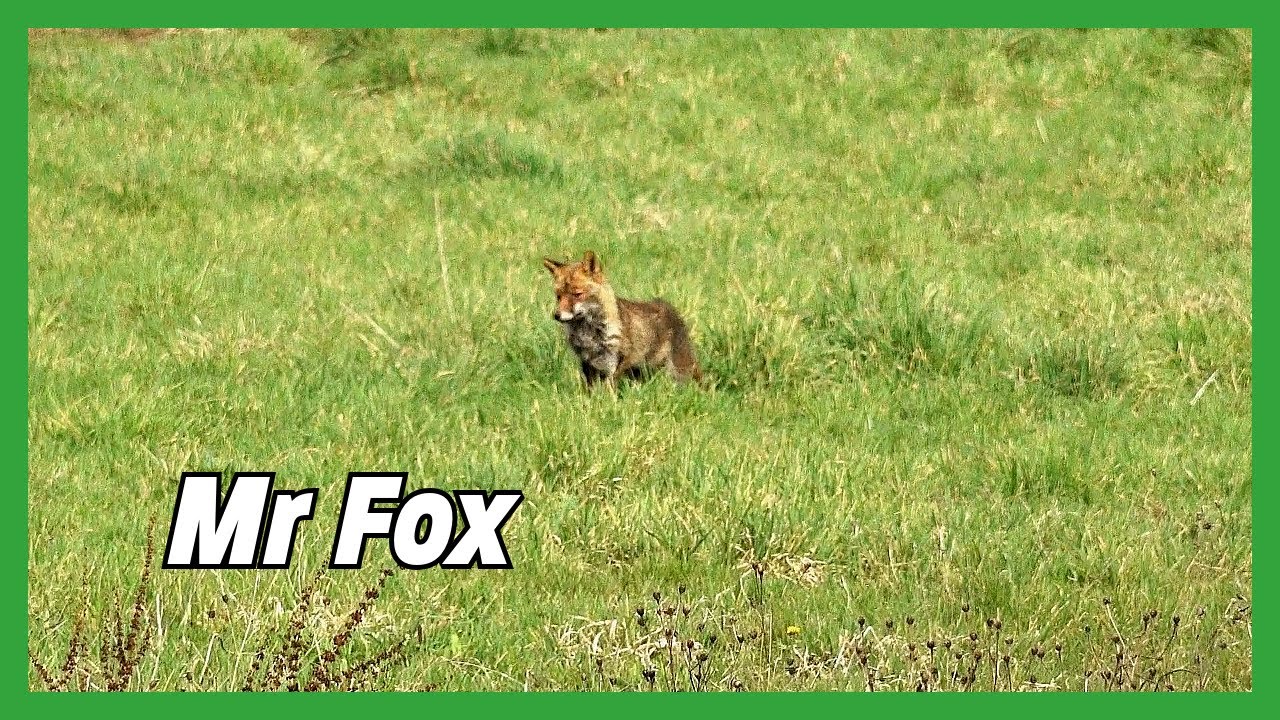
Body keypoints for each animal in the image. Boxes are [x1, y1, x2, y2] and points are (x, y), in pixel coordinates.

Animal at [542, 250, 703, 389]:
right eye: (558, 296)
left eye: (577, 294)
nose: (556, 315)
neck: (589, 333)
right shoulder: (587, 361)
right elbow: (591, 390)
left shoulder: (619, 359)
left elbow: (610, 387)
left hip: (678, 370)